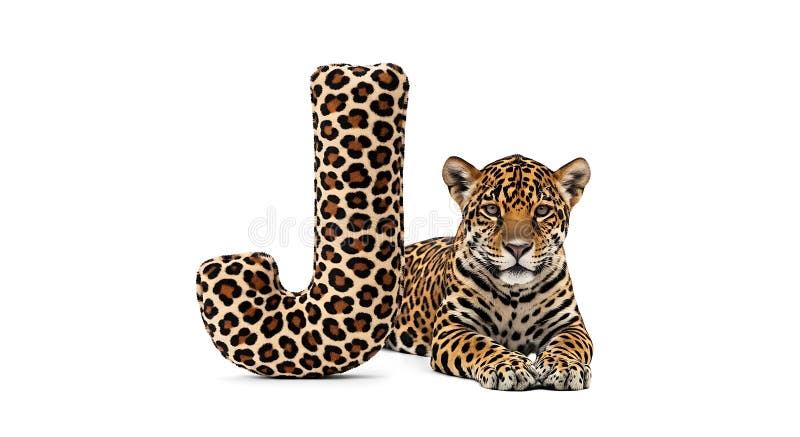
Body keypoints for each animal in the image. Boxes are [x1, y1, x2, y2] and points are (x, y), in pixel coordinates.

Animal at [385, 154, 593, 391]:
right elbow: (479, 343)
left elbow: (568, 344)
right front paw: (511, 366)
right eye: (492, 210)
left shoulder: (570, 324)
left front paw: (564, 366)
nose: (517, 247)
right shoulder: (452, 326)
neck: (515, 294)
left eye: (542, 211)